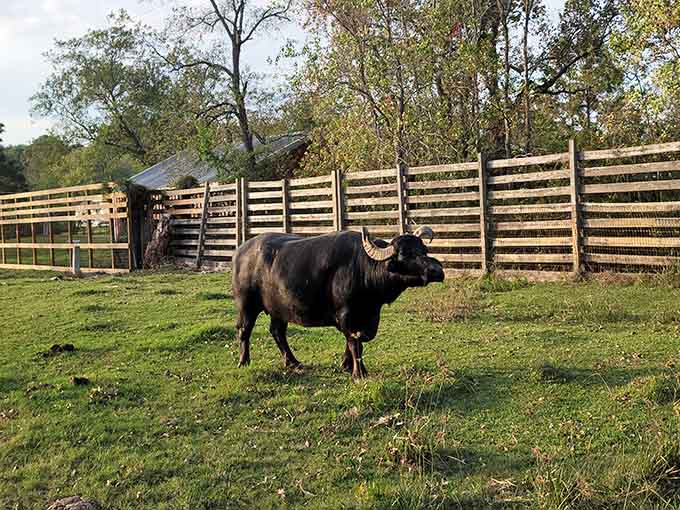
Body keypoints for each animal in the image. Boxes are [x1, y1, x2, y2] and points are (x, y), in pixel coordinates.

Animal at [231, 226, 445, 379]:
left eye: (424, 250)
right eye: (405, 254)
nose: (437, 270)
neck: (363, 268)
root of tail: (240, 252)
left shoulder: (370, 315)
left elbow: (357, 340)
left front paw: (346, 364)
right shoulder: (346, 314)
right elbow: (354, 342)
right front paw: (359, 372)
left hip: (279, 309)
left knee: (277, 332)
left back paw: (293, 362)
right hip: (246, 304)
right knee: (244, 330)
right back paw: (243, 361)